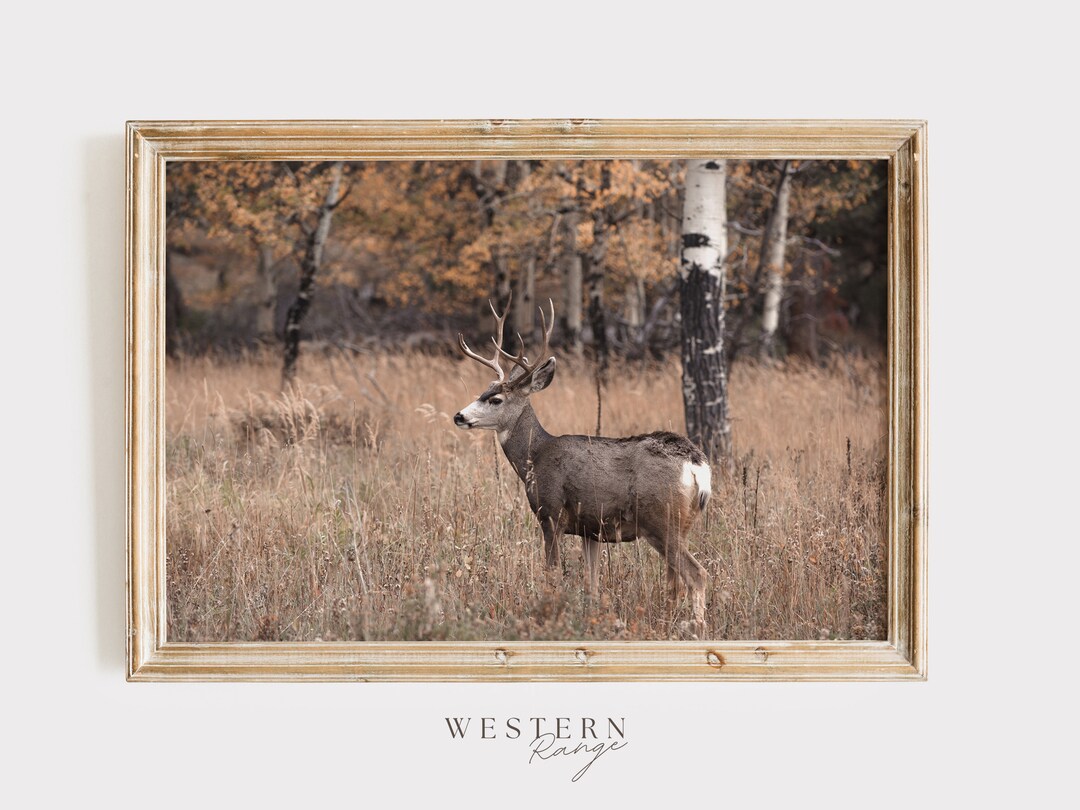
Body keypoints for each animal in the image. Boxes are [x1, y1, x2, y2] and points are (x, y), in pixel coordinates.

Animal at [453, 297, 711, 636]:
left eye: (495, 399)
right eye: (482, 392)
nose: (458, 416)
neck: (535, 456)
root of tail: (697, 464)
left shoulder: (551, 513)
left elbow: (551, 574)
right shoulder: (591, 529)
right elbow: (592, 584)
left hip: (662, 520)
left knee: (697, 574)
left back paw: (696, 627)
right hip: (682, 524)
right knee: (676, 580)